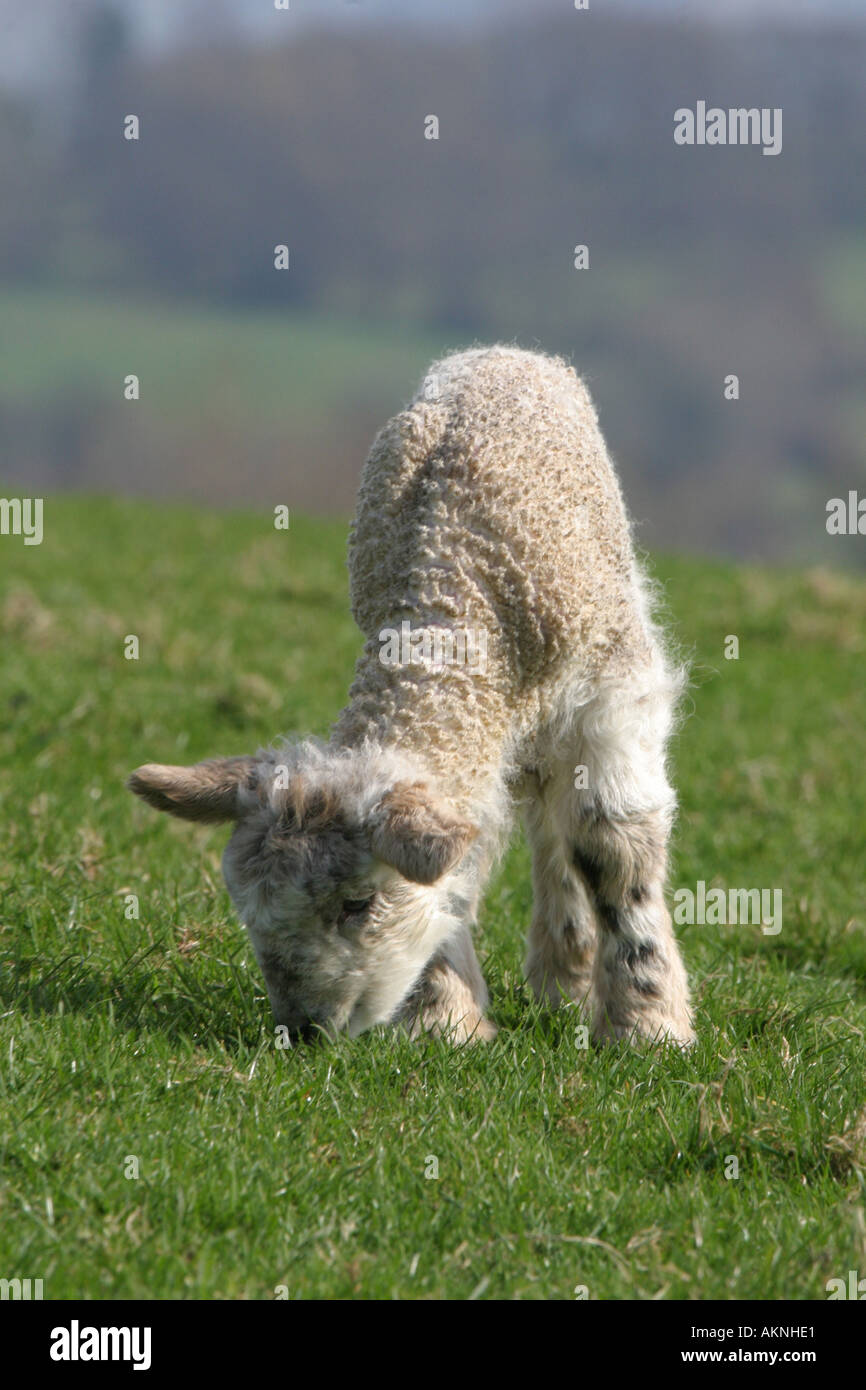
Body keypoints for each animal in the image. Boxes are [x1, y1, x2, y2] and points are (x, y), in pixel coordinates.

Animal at [129, 345, 695, 1048]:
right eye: (249, 910)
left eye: (358, 903)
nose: (305, 1030)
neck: (450, 583)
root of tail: (502, 351)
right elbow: (461, 861)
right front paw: (444, 1018)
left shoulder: (613, 687)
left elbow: (612, 844)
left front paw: (648, 1022)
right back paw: (562, 970)